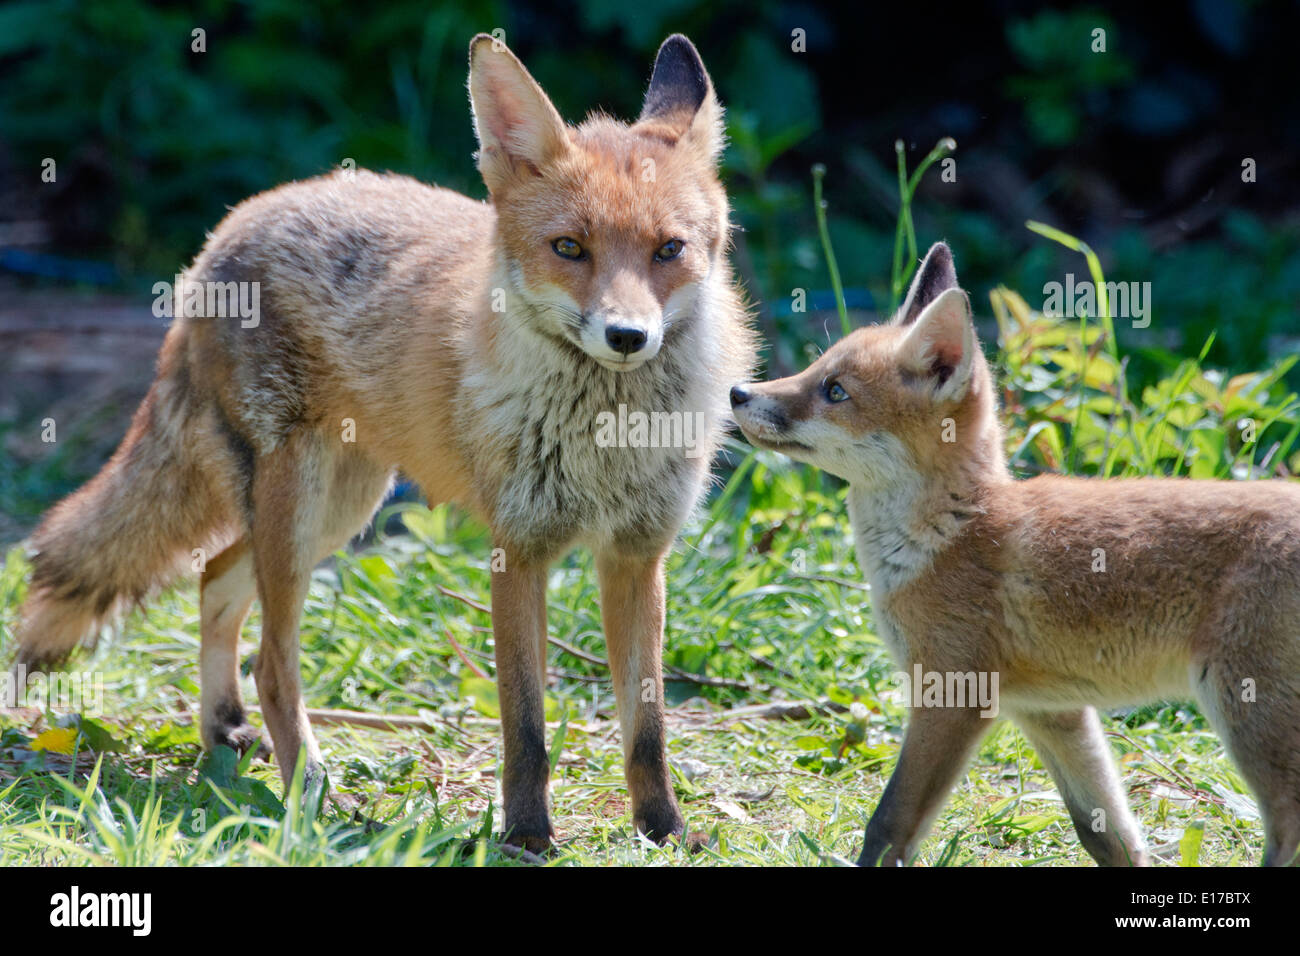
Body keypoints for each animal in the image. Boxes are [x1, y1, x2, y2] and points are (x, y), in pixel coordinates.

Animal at [5, 34, 754, 852]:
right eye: (569, 247)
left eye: (669, 250)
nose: (627, 336)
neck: (606, 441)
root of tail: (228, 228)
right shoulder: (517, 551)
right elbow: (525, 727)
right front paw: (526, 837)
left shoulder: (636, 556)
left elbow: (647, 730)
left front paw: (665, 831)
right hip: (304, 510)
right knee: (272, 662)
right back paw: (309, 792)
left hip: (337, 511)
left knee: (212, 577)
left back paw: (220, 730)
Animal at [731, 241, 1300, 867]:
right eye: (816, 370)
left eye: (835, 391)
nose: (738, 392)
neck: (948, 533)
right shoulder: (1053, 712)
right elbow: (1105, 832)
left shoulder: (953, 695)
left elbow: (888, 825)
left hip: (1247, 710)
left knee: (1288, 822)